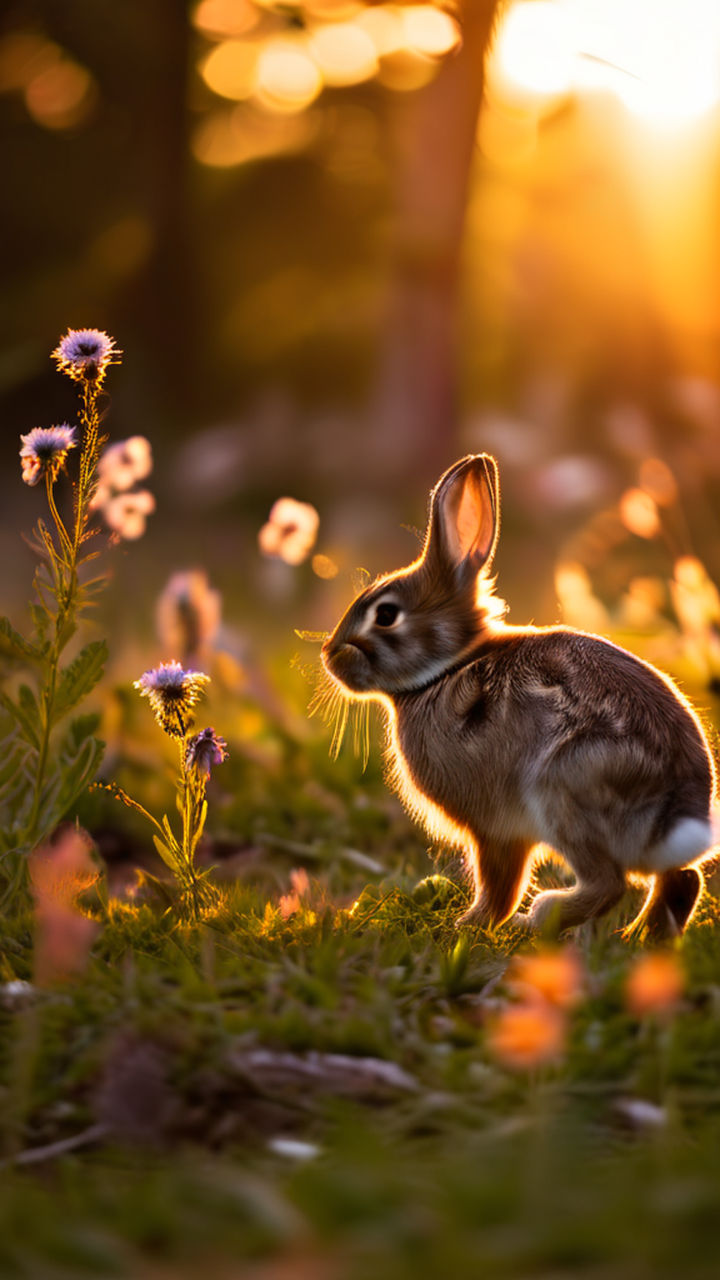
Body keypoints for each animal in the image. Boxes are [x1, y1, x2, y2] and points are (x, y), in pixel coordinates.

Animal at [321, 454, 716, 939]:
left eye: (386, 615)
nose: (329, 656)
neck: (444, 670)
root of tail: (677, 816)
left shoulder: (494, 827)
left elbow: (500, 886)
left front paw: (467, 926)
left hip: (563, 791)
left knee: (610, 884)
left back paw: (542, 917)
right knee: (682, 879)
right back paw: (637, 938)